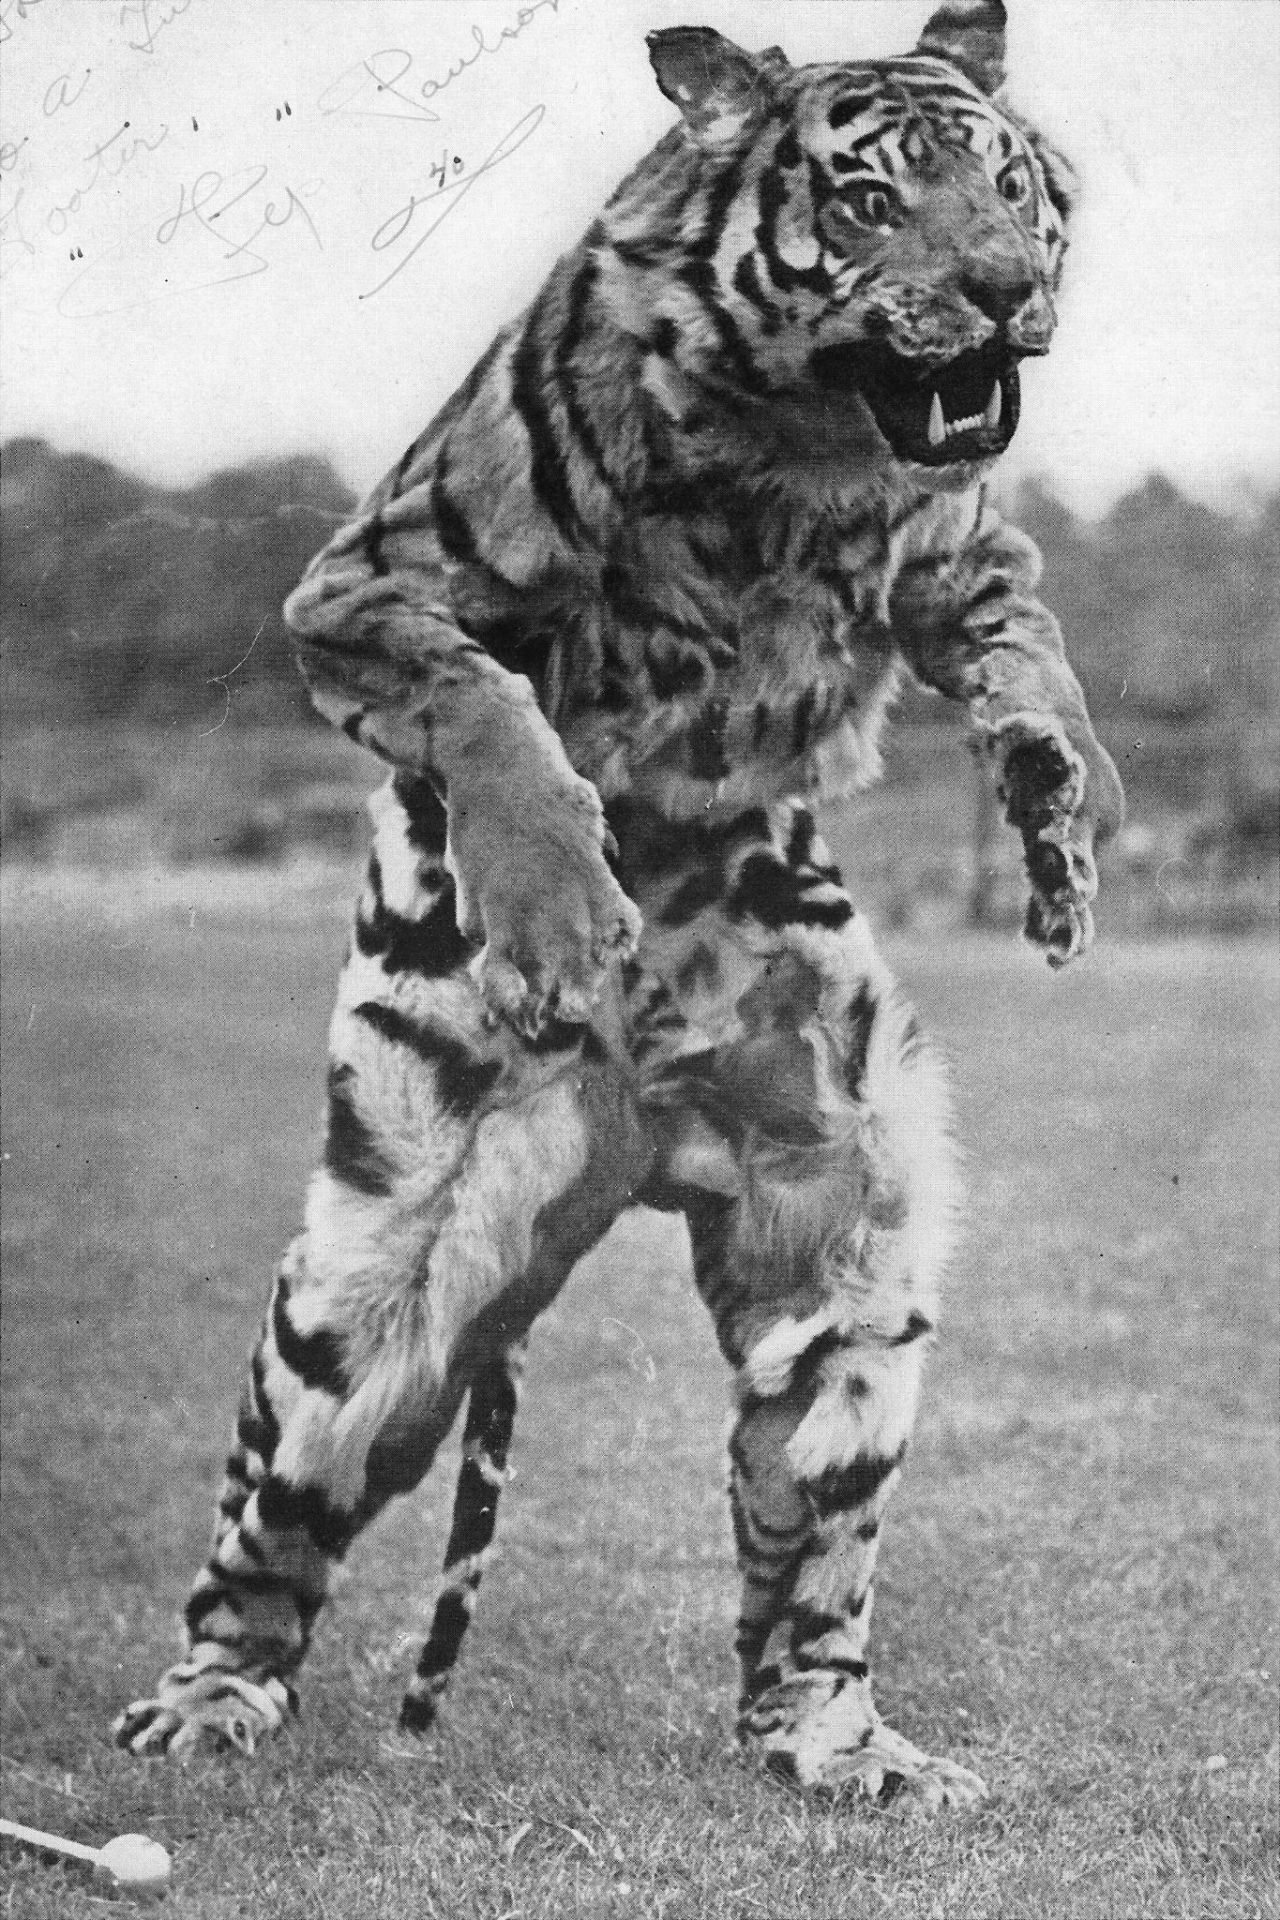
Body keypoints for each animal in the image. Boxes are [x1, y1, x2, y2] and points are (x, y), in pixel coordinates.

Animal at [115, 0, 1123, 1808]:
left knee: (812, 1531)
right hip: (383, 1285)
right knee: (270, 1518)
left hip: (840, 1210)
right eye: (873, 203)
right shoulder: (366, 587)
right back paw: (207, 1702)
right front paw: (565, 913)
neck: (812, 443)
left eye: (1010, 188)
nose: (1009, 289)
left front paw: (1066, 822)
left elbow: (1027, 652)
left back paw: (835, 1737)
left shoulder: (960, 552)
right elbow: (487, 708)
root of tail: (637, 1129)